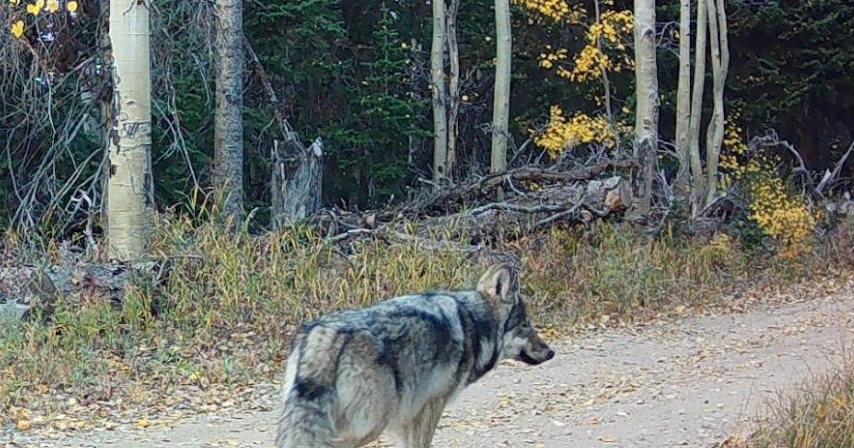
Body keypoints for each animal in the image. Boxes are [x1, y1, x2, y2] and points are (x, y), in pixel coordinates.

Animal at [275, 263, 555, 448]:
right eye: (526, 325)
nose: (552, 352)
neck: (474, 323)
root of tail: (324, 333)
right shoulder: (429, 408)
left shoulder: (406, 419)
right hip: (368, 426)